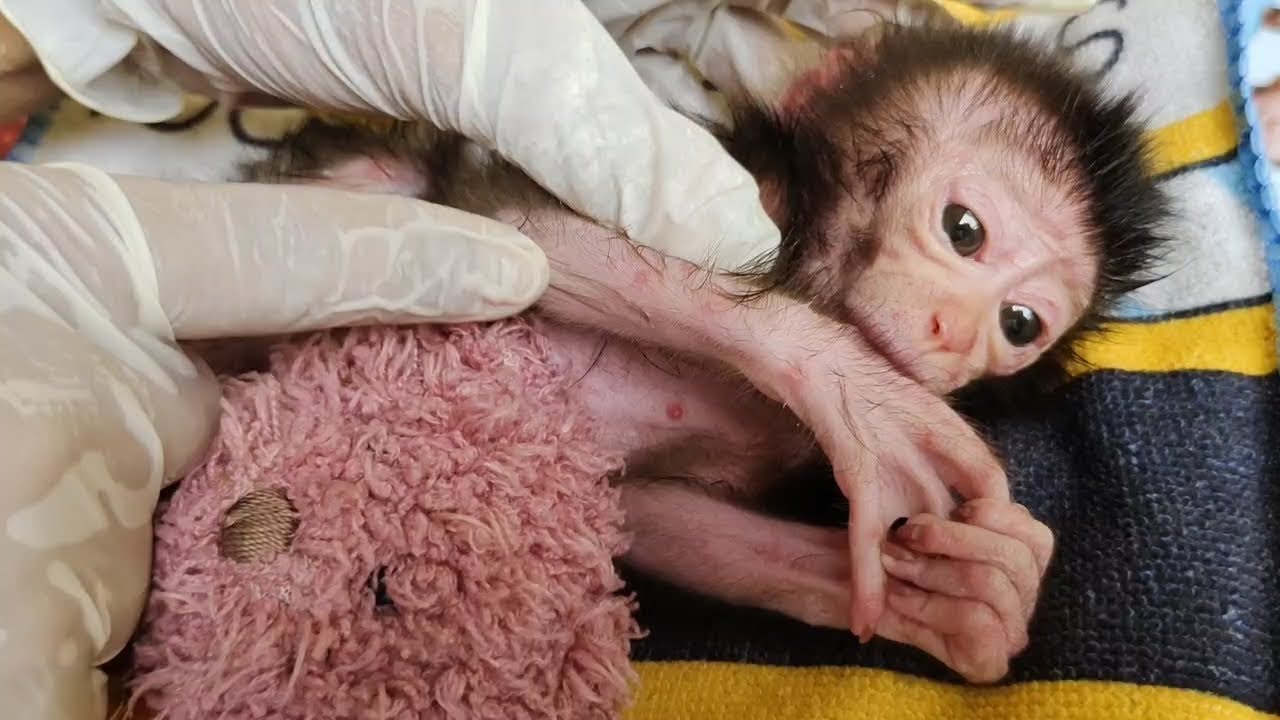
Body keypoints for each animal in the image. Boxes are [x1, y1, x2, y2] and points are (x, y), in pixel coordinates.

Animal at [233, 17, 1171, 683]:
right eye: (964, 230)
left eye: (1019, 324)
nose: (956, 330)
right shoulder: (732, 187)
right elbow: (507, 231)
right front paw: (858, 394)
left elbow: (648, 512)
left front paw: (964, 593)